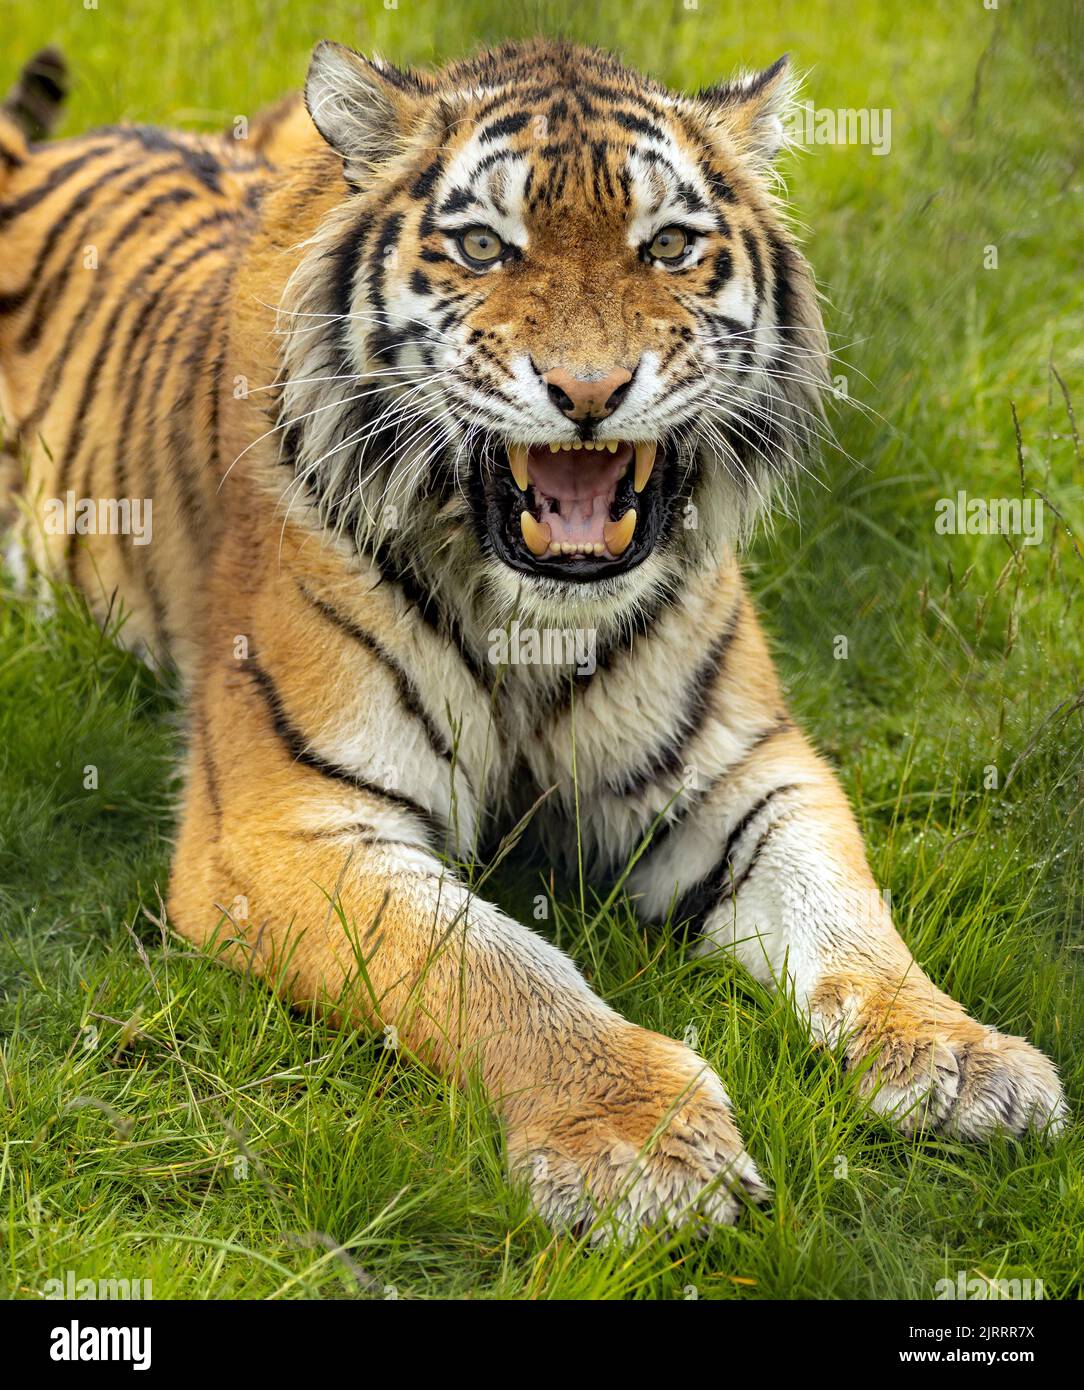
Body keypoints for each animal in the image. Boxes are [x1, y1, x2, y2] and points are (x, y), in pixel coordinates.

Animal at [0, 38, 1067, 1241]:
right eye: (481, 247)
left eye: (668, 246)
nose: (589, 391)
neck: (533, 623)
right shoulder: (292, 826)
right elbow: (497, 965)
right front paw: (640, 1143)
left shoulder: (742, 772)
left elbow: (851, 917)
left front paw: (962, 1056)